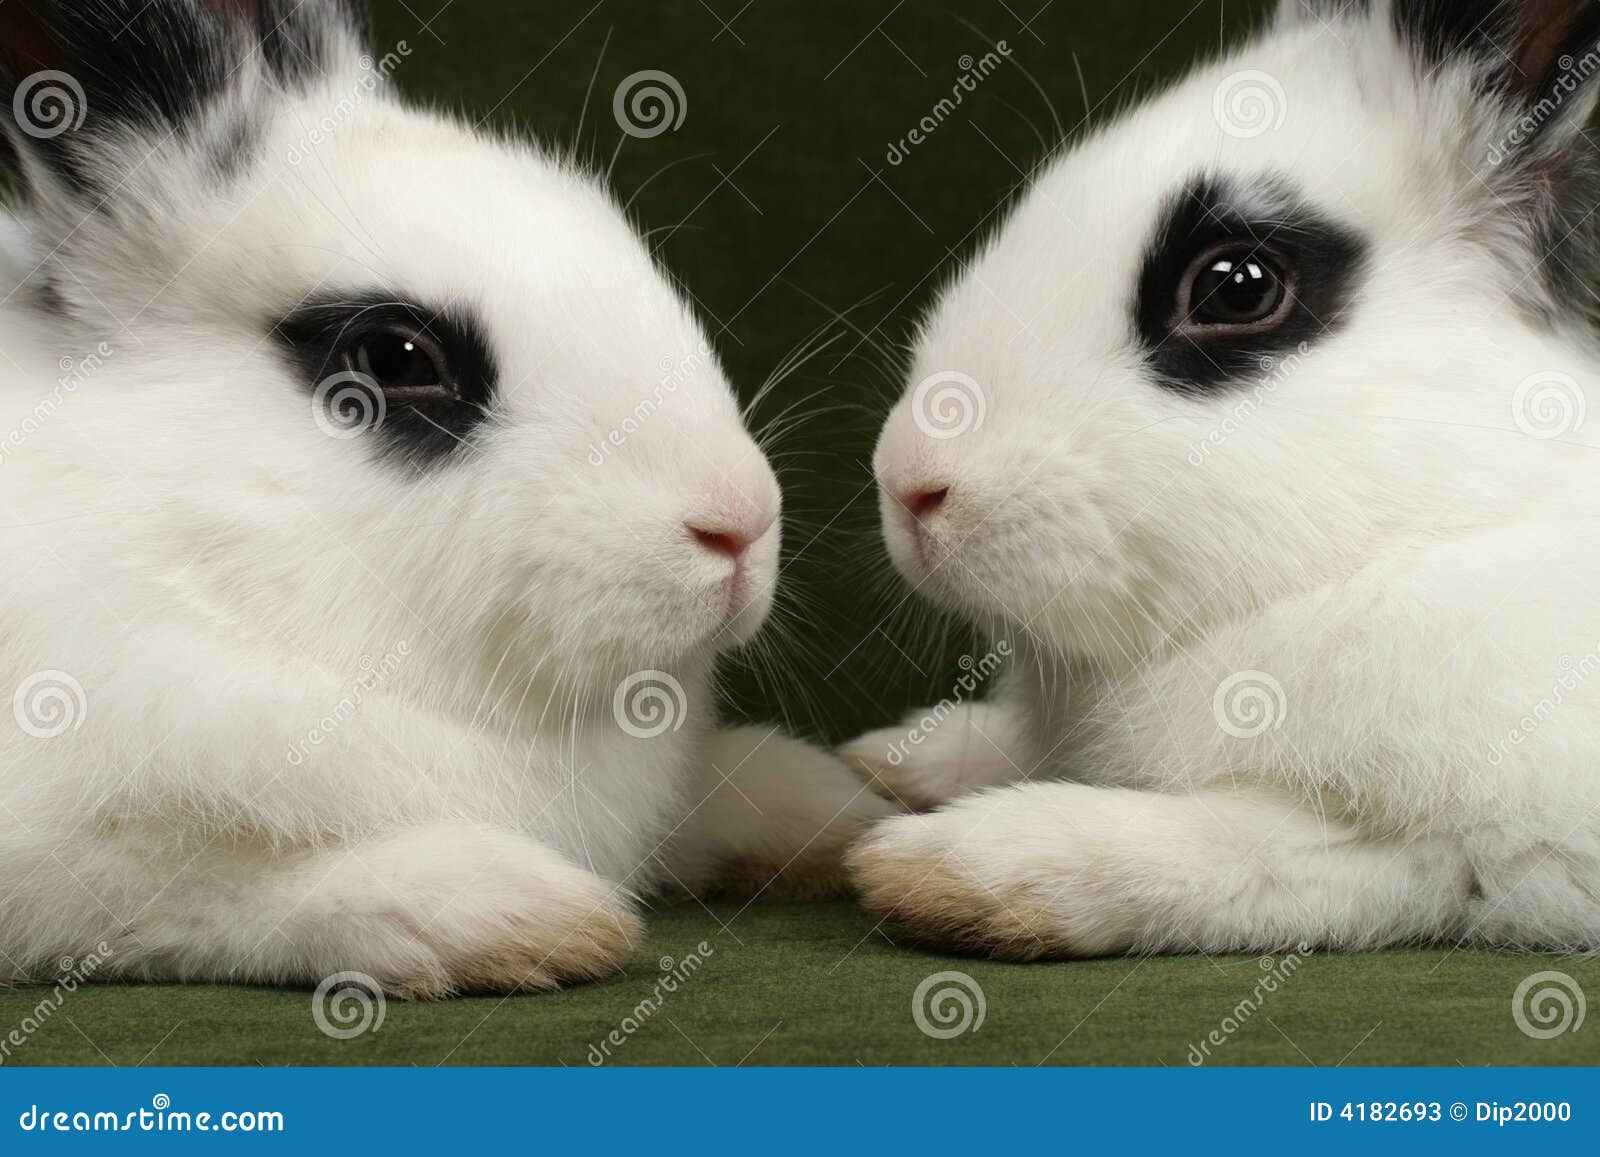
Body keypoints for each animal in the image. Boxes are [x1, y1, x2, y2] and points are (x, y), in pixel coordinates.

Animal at [0, 0, 889, 997]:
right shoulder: (65, 853)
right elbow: (212, 890)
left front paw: (838, 812)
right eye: (395, 359)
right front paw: (523, 918)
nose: (740, 523)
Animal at [843, 0, 1600, 959]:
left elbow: (1257, 854)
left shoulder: (1498, 842)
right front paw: (902, 755)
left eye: (1237, 289)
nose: (908, 485)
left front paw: (948, 869)